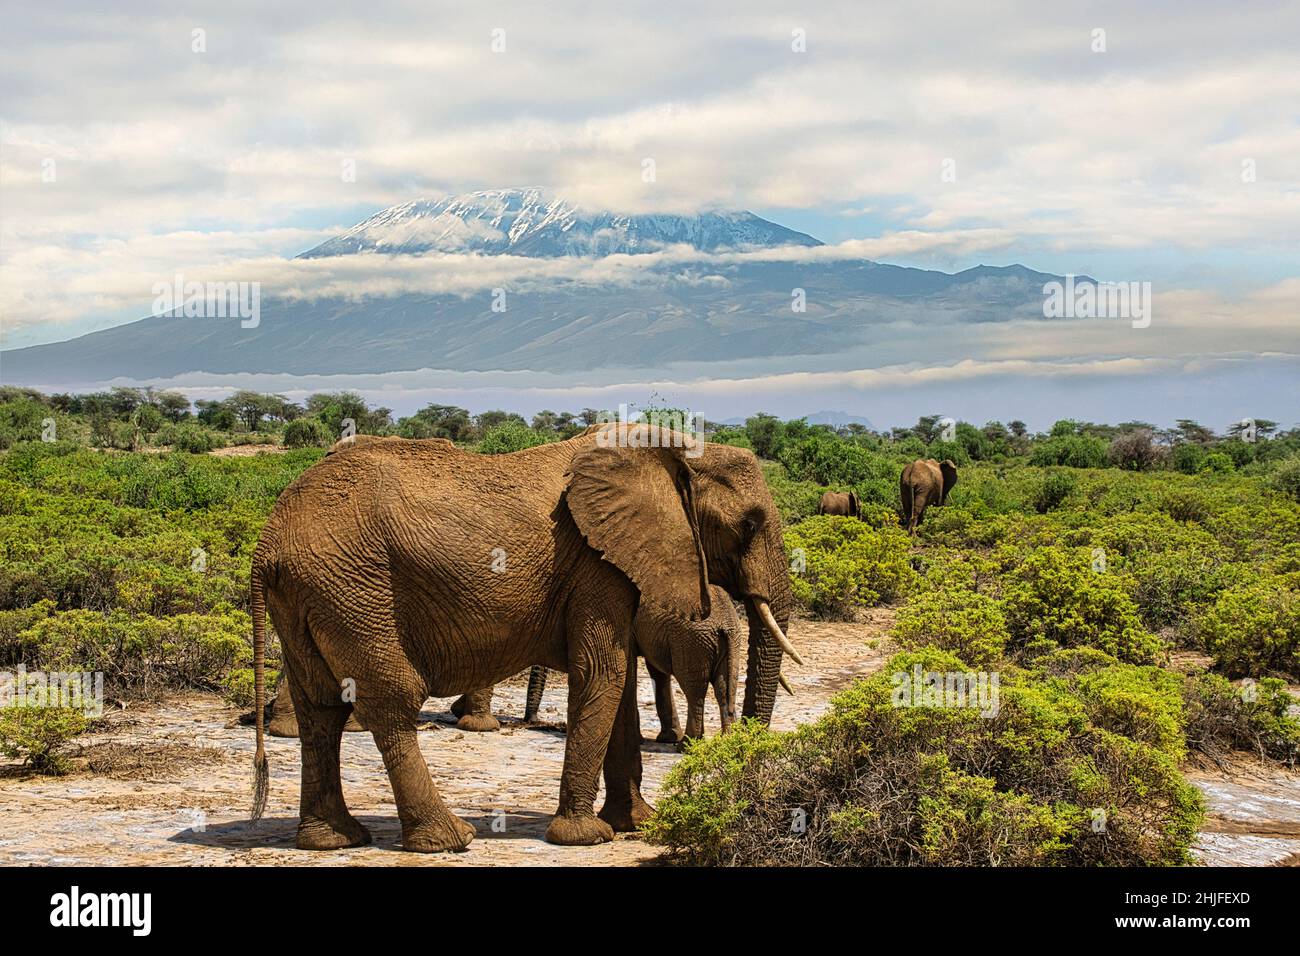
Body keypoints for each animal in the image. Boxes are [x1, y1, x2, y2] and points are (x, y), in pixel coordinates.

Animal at [451, 584, 743, 742]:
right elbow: (657, 671)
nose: (531, 720)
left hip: (692, 642)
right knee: (723, 687)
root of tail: (726, 625)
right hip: (722, 644)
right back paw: (726, 740)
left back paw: (689, 743)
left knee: (695, 688)